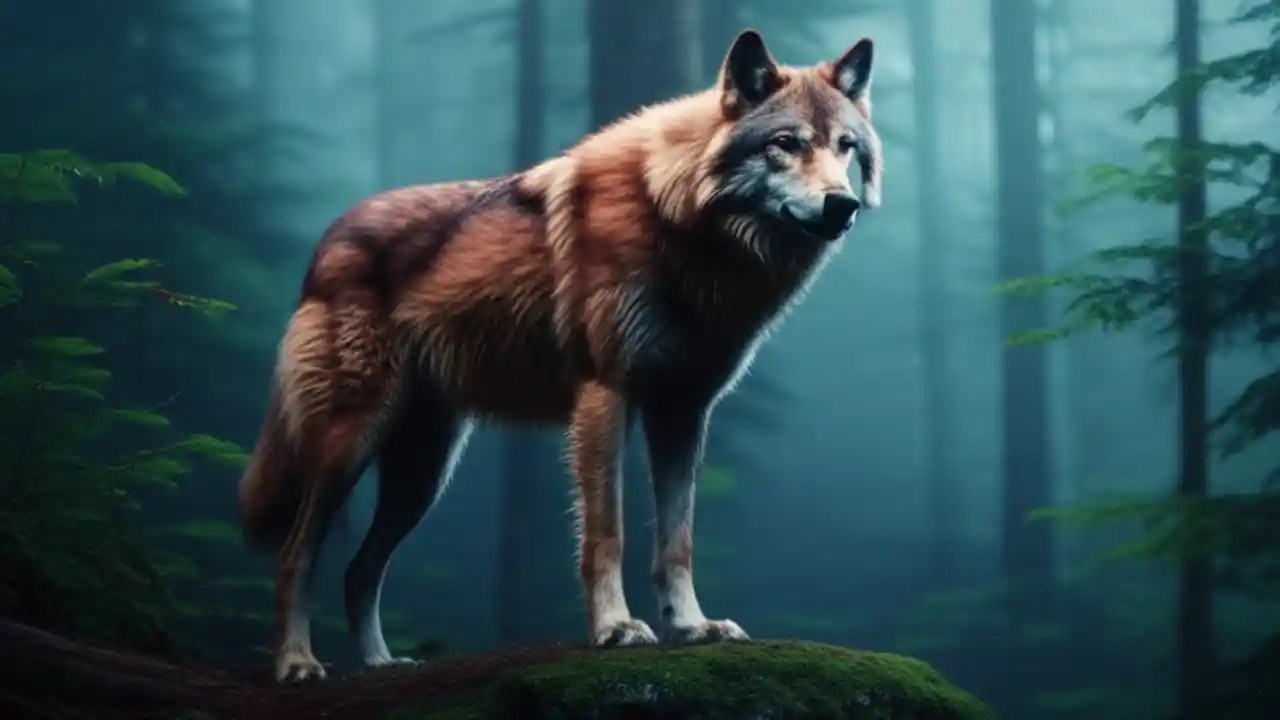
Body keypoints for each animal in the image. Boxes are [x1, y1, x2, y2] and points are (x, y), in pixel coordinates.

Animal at [238, 29, 882, 682]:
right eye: (786, 144)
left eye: (845, 147)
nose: (843, 205)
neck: (681, 221)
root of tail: (324, 243)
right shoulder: (606, 395)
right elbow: (605, 533)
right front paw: (616, 628)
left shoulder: (683, 412)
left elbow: (677, 540)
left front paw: (692, 626)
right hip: (349, 446)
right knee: (295, 555)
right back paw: (297, 663)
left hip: (422, 476)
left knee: (360, 568)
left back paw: (381, 663)